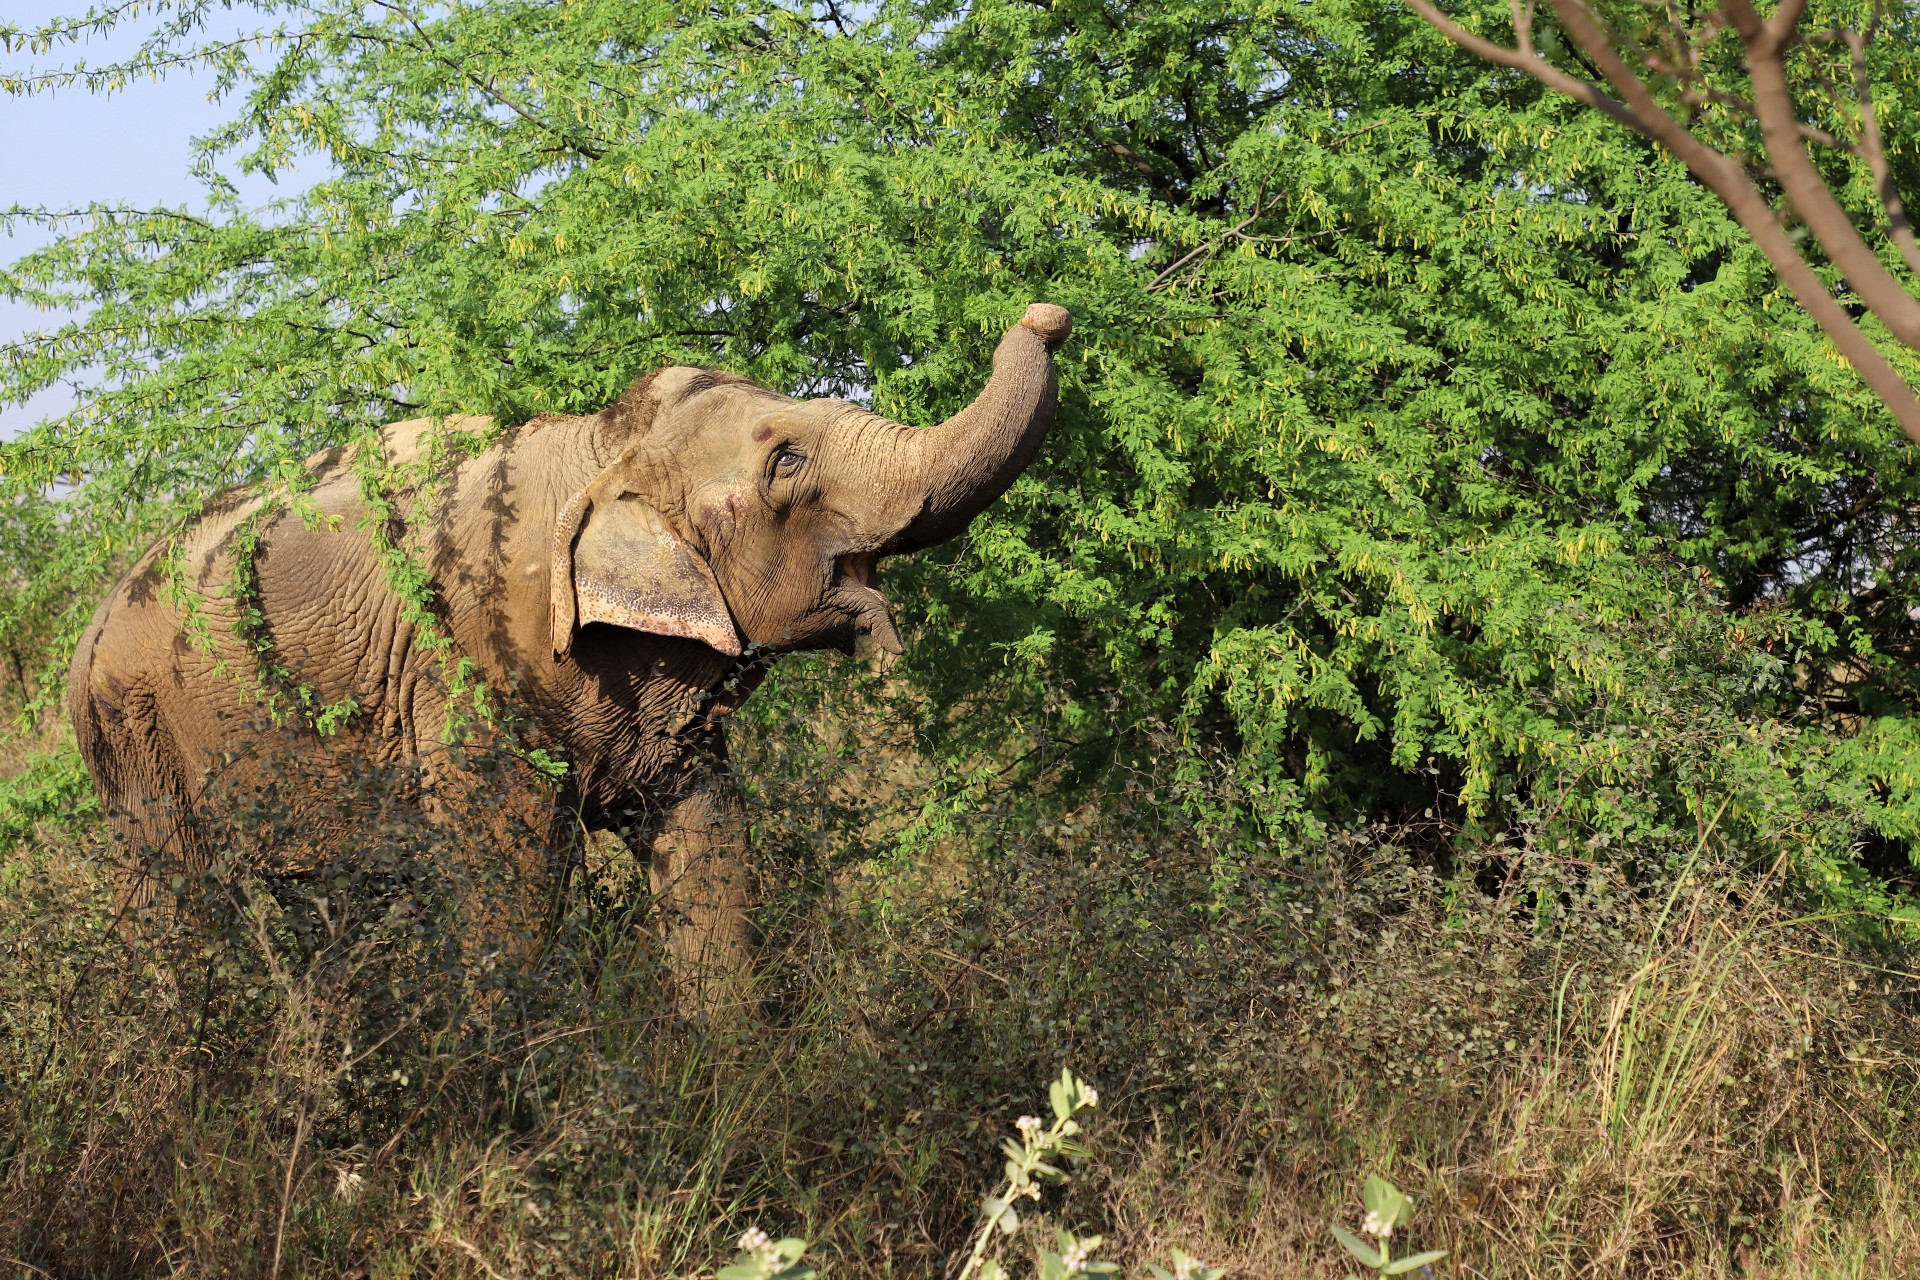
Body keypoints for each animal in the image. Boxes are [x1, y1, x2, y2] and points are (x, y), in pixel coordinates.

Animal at [69, 302, 1072, 992]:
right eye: (786, 462)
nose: (1046, 315)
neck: (601, 447)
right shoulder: (471, 674)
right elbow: (511, 869)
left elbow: (708, 847)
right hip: (132, 735)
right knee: (173, 900)